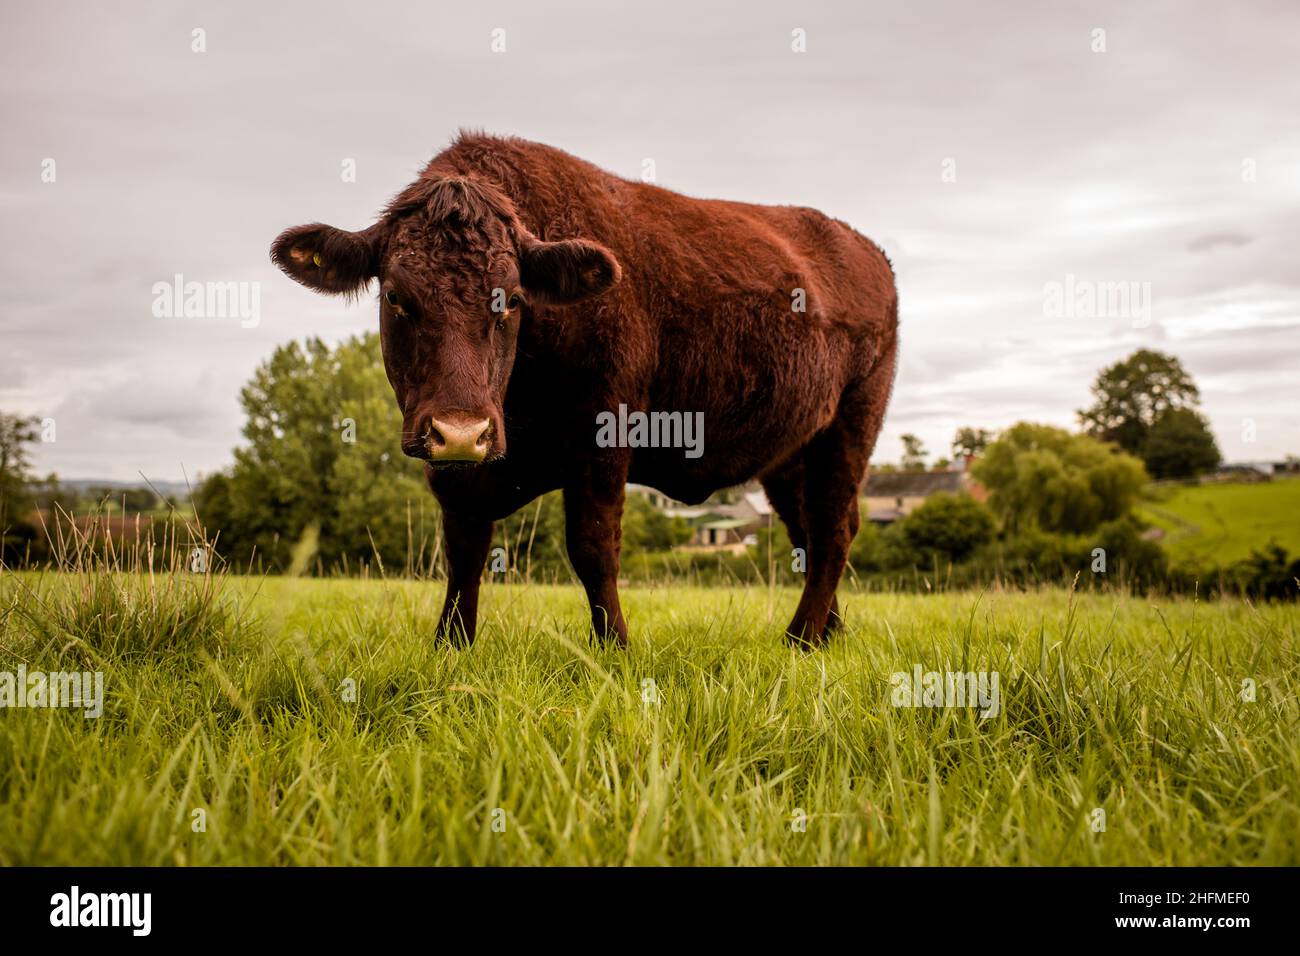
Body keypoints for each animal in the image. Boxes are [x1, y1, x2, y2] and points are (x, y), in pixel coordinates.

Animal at [271, 133, 898, 648]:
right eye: (396, 297)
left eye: (512, 298)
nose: (461, 430)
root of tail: (863, 248)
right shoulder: (455, 469)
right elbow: (464, 548)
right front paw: (451, 643)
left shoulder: (604, 436)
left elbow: (593, 546)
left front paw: (613, 647)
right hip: (791, 454)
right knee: (808, 532)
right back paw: (828, 632)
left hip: (851, 424)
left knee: (833, 529)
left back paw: (801, 638)